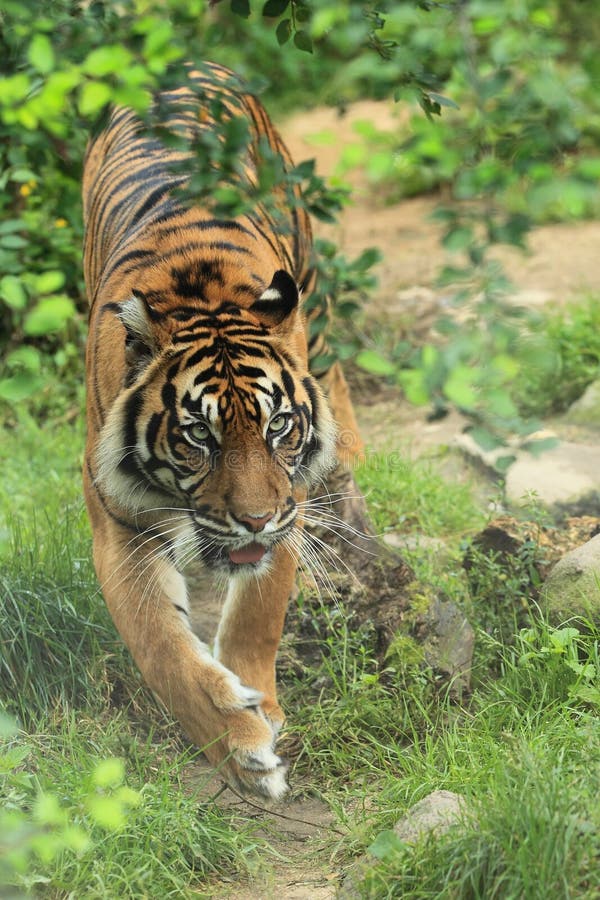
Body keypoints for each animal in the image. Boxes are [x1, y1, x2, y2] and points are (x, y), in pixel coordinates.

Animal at [82, 61, 363, 799]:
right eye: (198, 437)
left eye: (279, 427)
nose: (255, 521)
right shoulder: (119, 526)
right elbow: (160, 645)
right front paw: (242, 750)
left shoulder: (290, 500)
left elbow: (260, 612)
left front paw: (264, 710)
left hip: (310, 280)